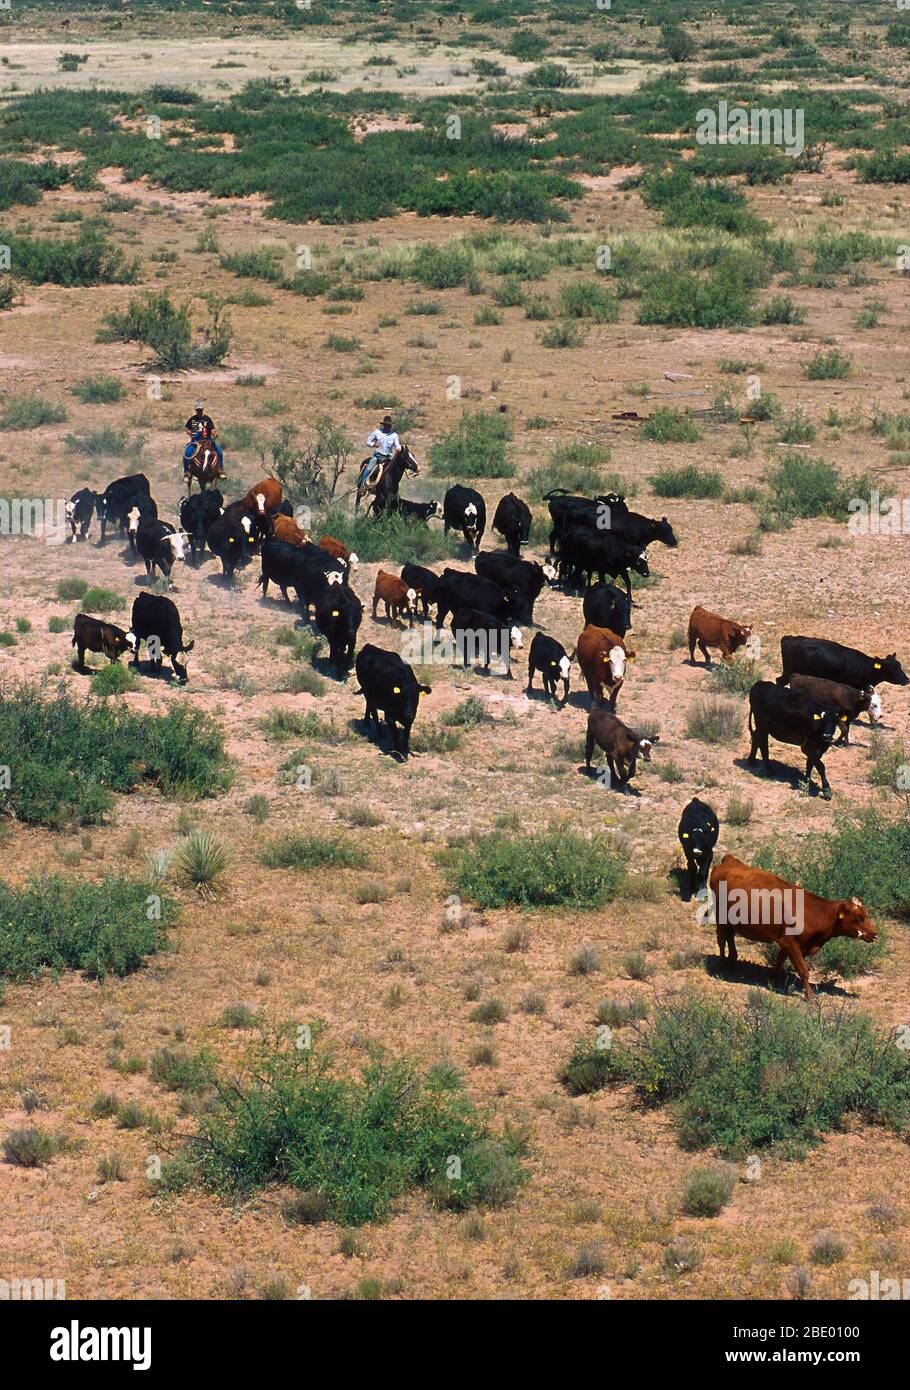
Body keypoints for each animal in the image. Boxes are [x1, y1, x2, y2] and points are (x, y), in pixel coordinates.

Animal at [708, 853, 876, 1000]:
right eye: (859, 917)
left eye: (867, 914)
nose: (874, 934)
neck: (815, 913)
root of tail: (729, 860)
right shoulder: (789, 941)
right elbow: (803, 969)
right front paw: (810, 996)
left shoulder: (788, 942)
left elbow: (779, 961)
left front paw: (770, 980)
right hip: (721, 917)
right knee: (721, 939)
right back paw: (721, 967)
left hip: (731, 921)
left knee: (729, 937)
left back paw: (732, 962)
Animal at [778, 636, 908, 691]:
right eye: (892, 669)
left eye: (900, 666)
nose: (907, 680)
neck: (867, 668)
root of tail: (789, 637)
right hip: (789, 670)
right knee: (779, 681)